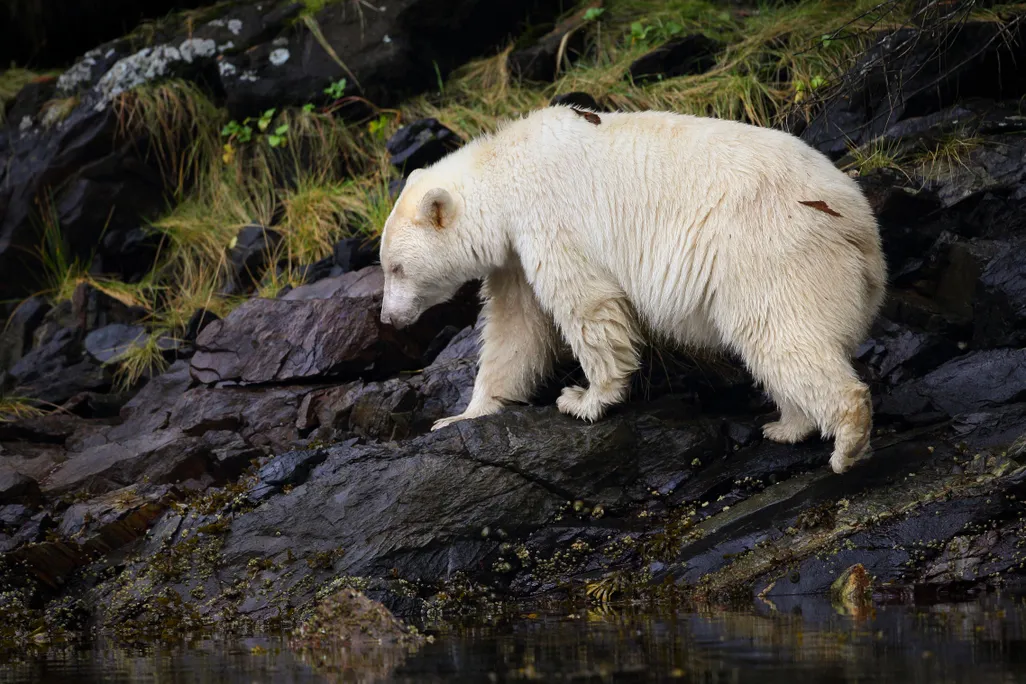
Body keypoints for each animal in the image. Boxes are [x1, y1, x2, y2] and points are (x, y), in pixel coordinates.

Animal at [378, 104, 886, 474]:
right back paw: (787, 425)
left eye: (396, 268)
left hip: (771, 251)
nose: (387, 318)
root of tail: (862, 231)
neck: (504, 170)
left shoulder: (550, 219)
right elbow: (513, 330)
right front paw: (459, 416)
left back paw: (846, 441)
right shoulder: (514, 259)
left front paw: (583, 399)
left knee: (778, 334)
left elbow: (586, 305)